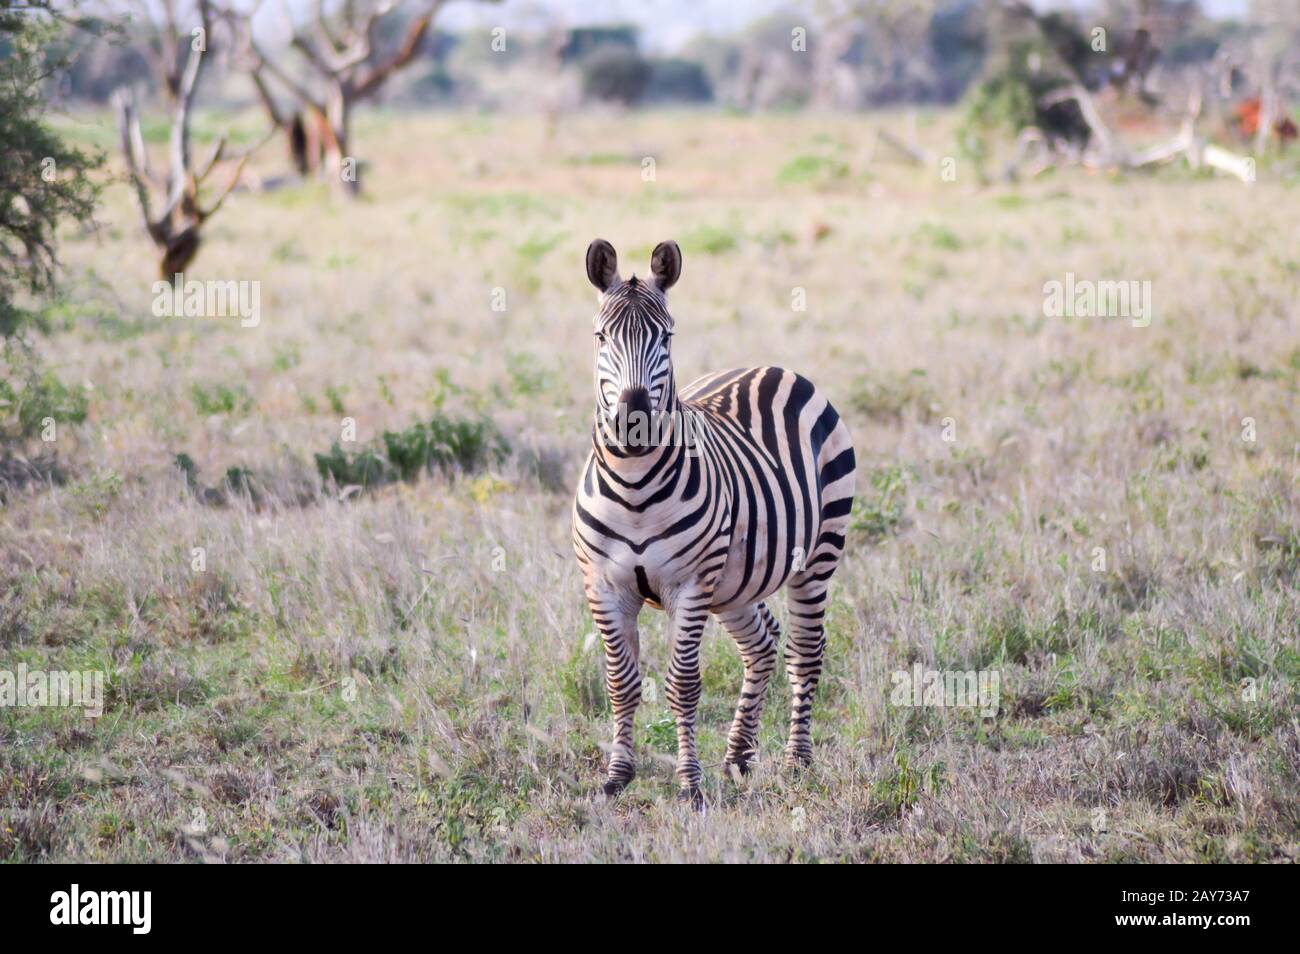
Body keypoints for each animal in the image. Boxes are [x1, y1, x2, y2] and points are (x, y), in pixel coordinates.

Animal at [572, 238, 857, 805]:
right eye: (600, 336)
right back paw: (740, 756)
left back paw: (796, 761)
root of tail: (770, 367)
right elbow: (621, 682)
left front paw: (689, 784)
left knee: (805, 651)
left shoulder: (688, 585)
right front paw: (617, 776)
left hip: (816, 556)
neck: (634, 484)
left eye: (666, 335)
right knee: (763, 643)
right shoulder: (604, 585)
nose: (633, 421)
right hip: (735, 582)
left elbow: (683, 685)